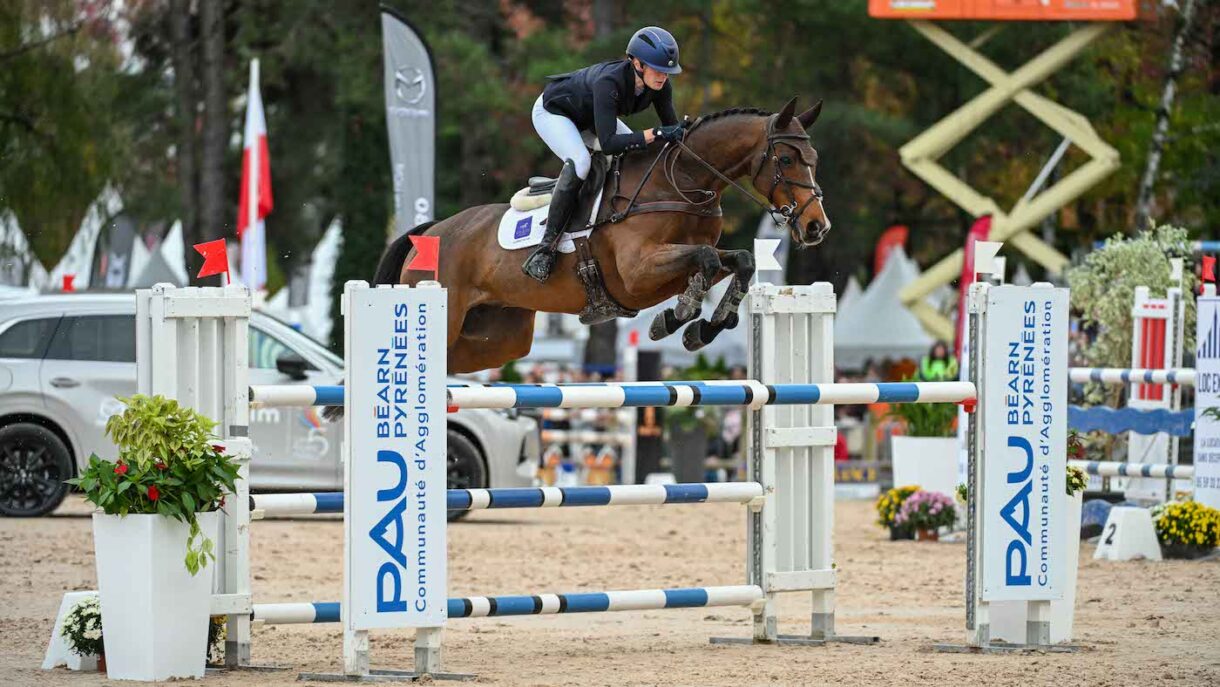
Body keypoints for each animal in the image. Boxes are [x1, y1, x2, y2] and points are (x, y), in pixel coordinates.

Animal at [374, 96, 830, 374]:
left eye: (814, 157)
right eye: (786, 159)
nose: (816, 227)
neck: (680, 181)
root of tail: (430, 233)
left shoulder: (680, 259)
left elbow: (739, 261)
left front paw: (706, 327)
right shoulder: (637, 273)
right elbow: (706, 257)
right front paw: (672, 319)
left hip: (501, 338)